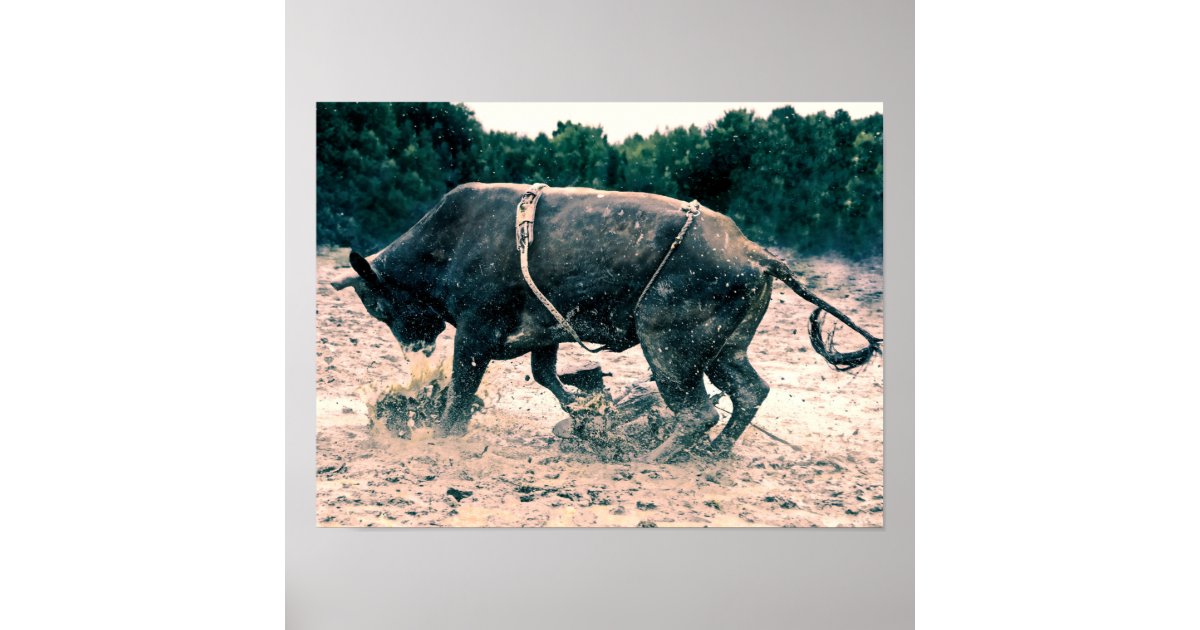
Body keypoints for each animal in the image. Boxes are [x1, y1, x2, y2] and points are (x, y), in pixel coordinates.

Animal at [330, 182, 881, 462]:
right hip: (723, 350)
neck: (452, 239)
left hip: (668, 347)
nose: (415, 350)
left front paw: (443, 434)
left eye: (379, 306)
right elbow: (546, 375)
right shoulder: (545, 332)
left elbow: (462, 391)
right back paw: (713, 453)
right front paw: (587, 412)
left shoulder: (475, 333)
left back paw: (654, 457)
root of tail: (752, 251)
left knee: (698, 411)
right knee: (748, 393)